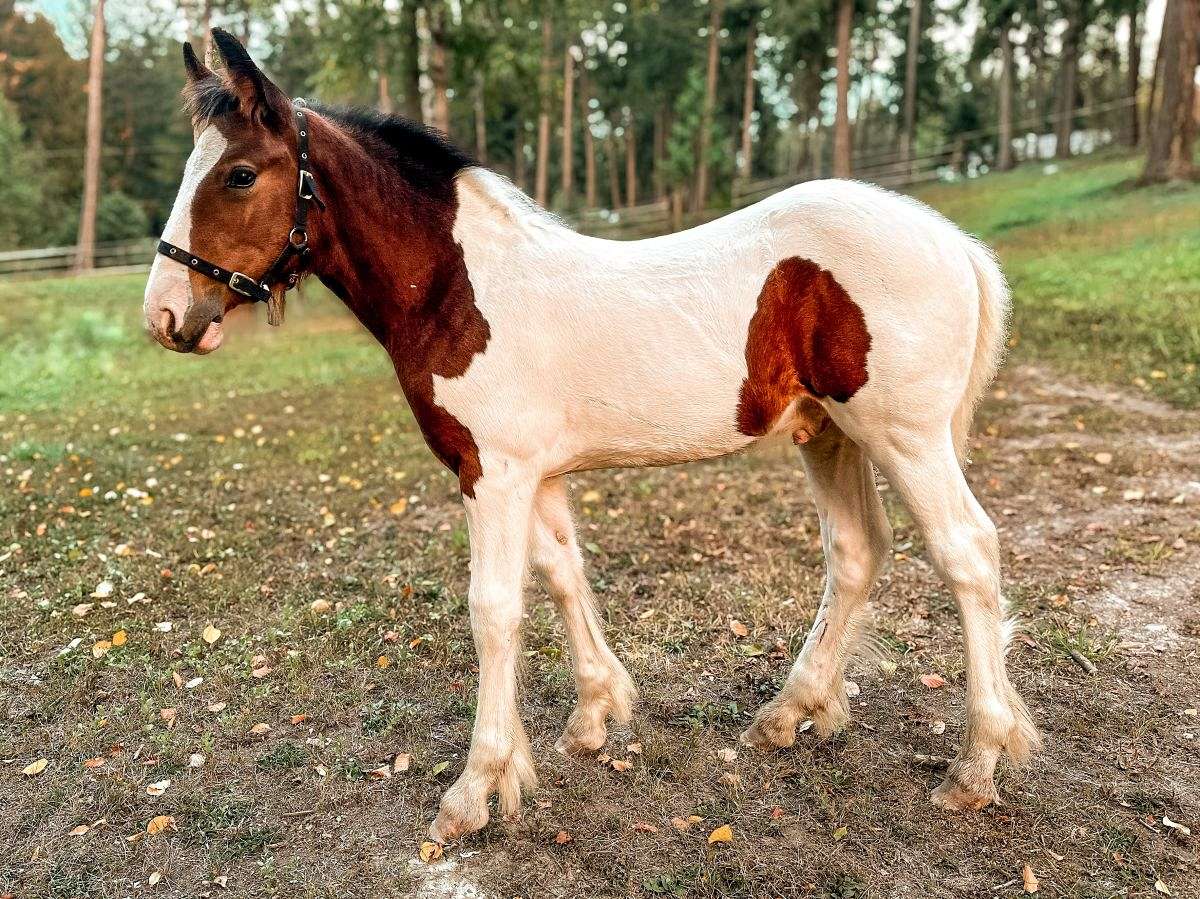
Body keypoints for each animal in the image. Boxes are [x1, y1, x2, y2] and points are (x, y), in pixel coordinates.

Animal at [143, 29, 1040, 844]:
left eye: (238, 173)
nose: (165, 316)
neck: (458, 287)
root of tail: (953, 242)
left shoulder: (492, 473)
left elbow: (494, 609)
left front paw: (475, 789)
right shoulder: (535, 474)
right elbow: (563, 574)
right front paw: (593, 716)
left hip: (906, 436)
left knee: (967, 552)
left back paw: (976, 765)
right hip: (828, 433)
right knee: (856, 550)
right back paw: (788, 714)